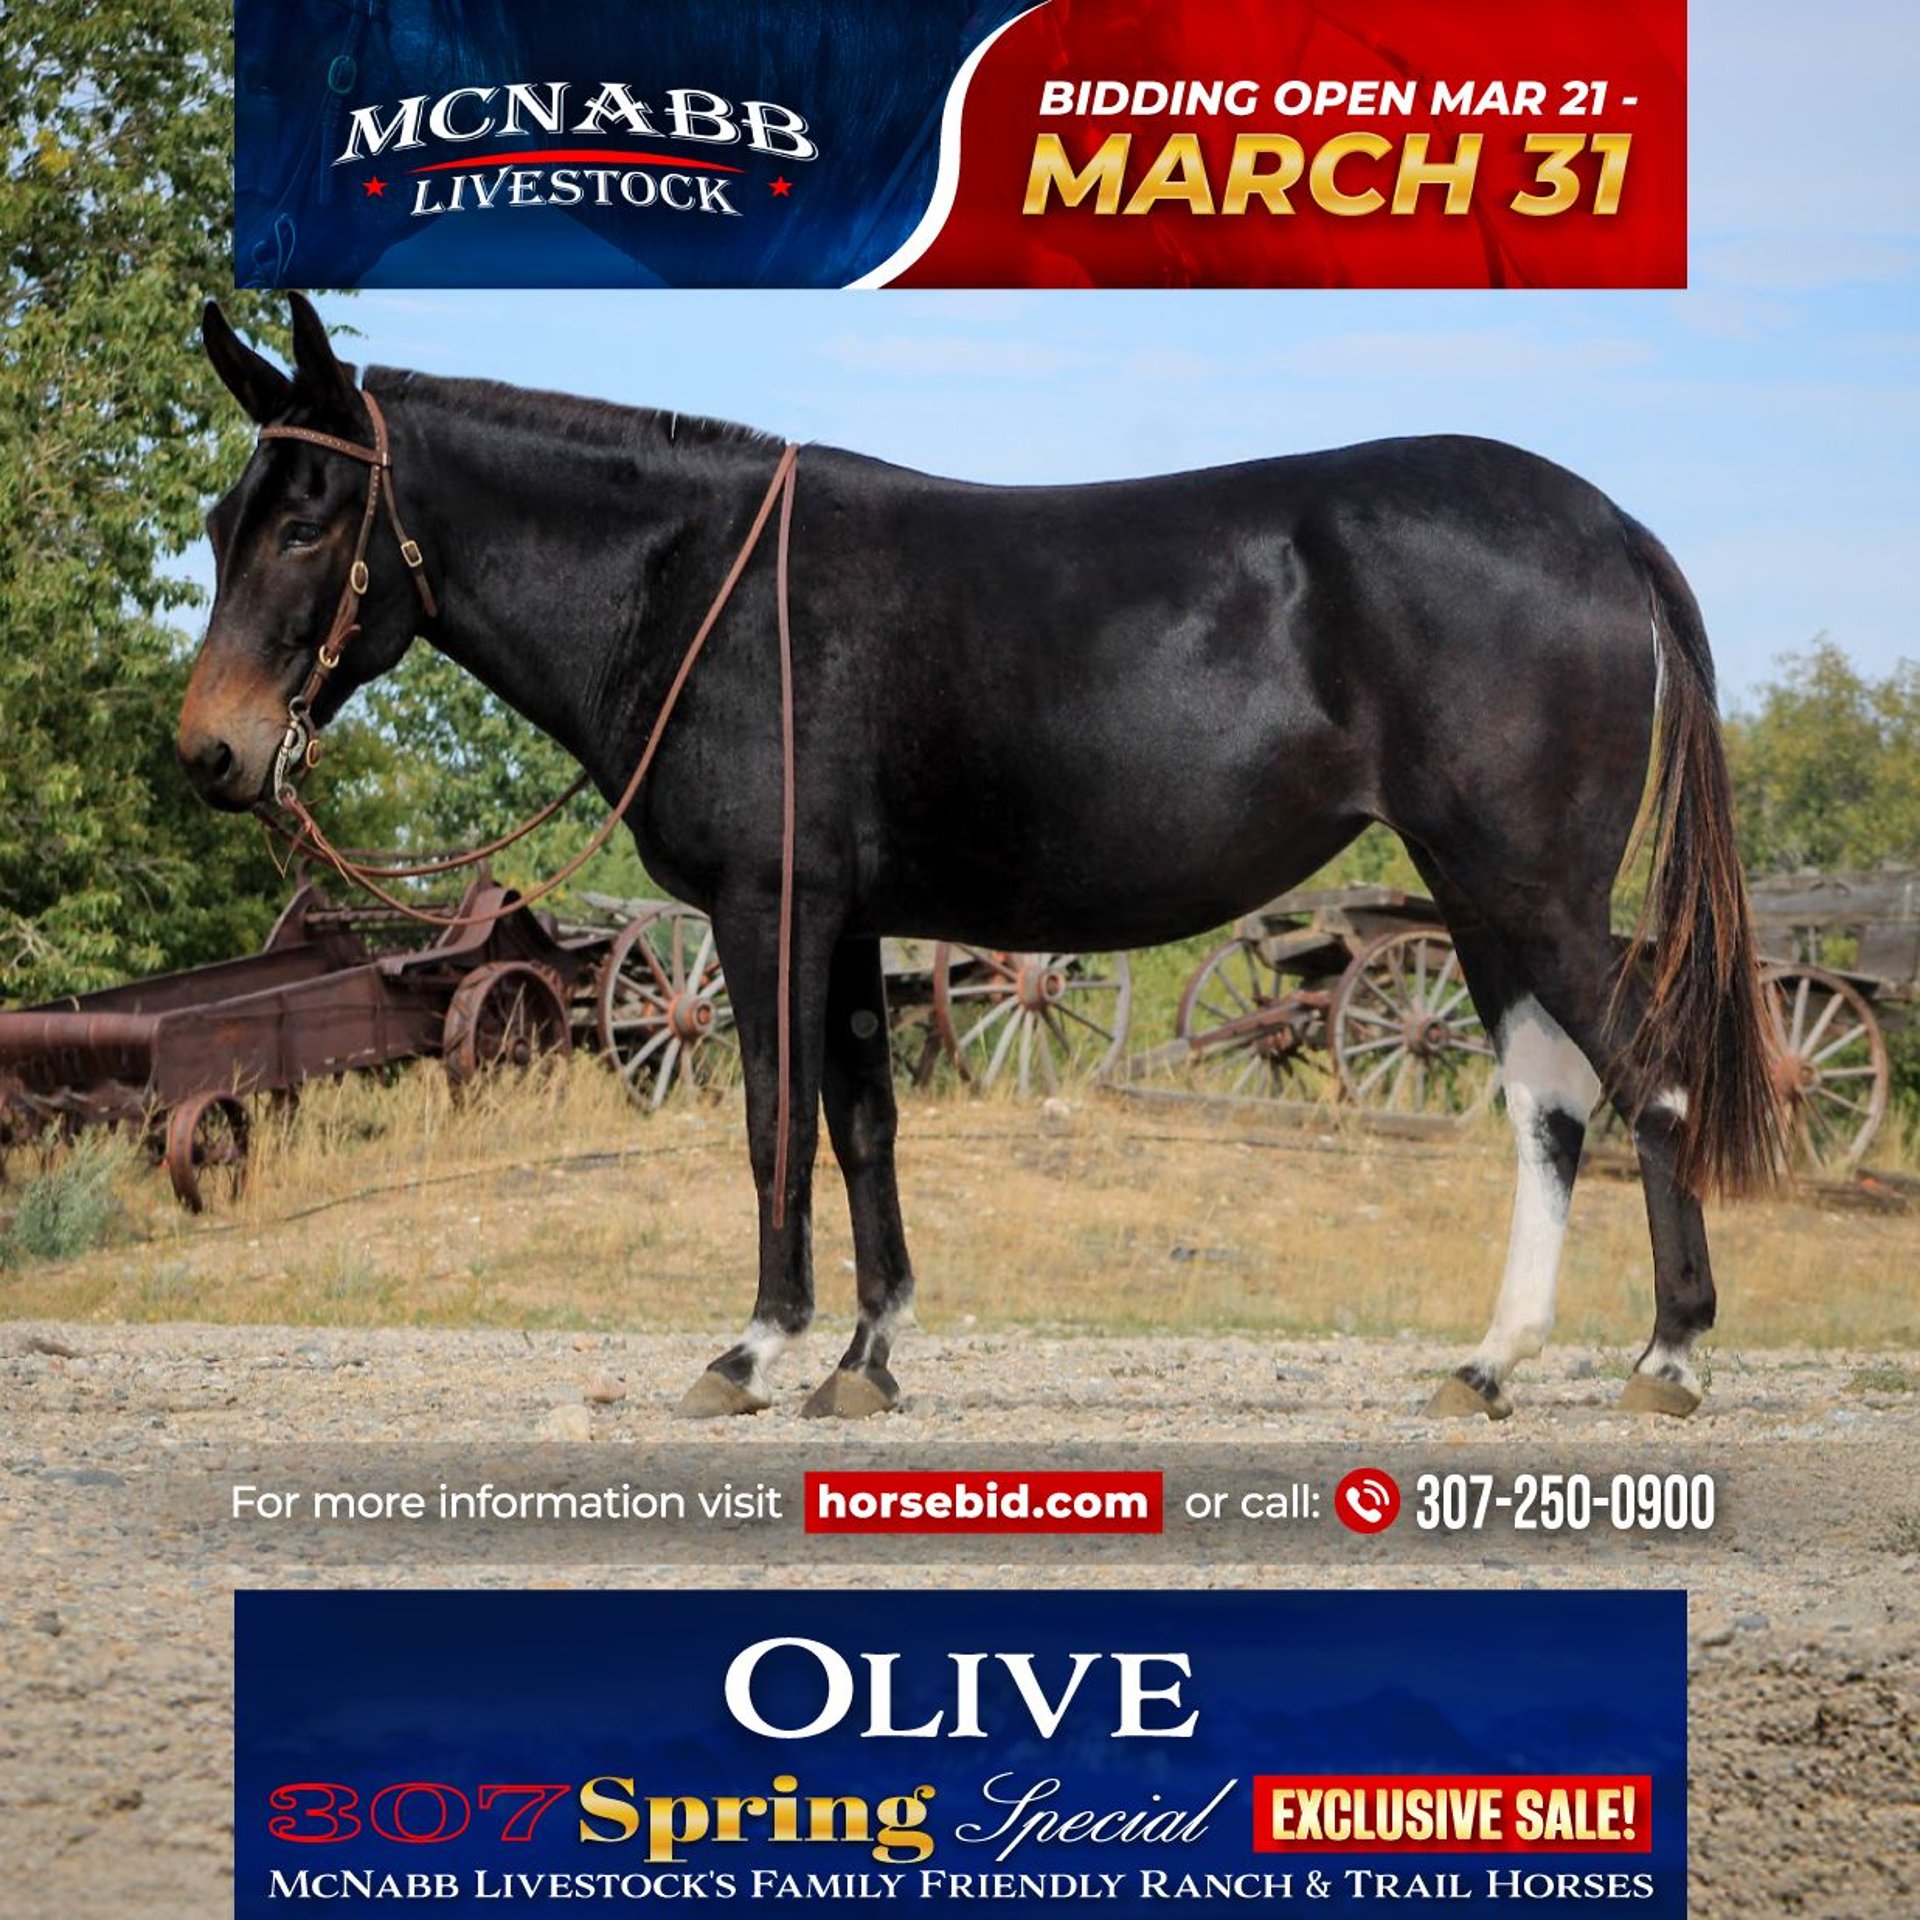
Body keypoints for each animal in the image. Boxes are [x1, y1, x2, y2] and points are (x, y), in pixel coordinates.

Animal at [179, 295, 1781, 1421]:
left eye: (310, 519)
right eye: (218, 516)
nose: (211, 751)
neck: (699, 591)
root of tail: (1604, 526)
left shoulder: (769, 907)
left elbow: (774, 1124)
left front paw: (752, 1352)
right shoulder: (845, 919)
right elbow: (863, 1125)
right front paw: (866, 1359)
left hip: (1529, 887)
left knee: (1649, 1076)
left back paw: (1672, 1359)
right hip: (1480, 894)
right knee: (1550, 1105)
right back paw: (1491, 1364)